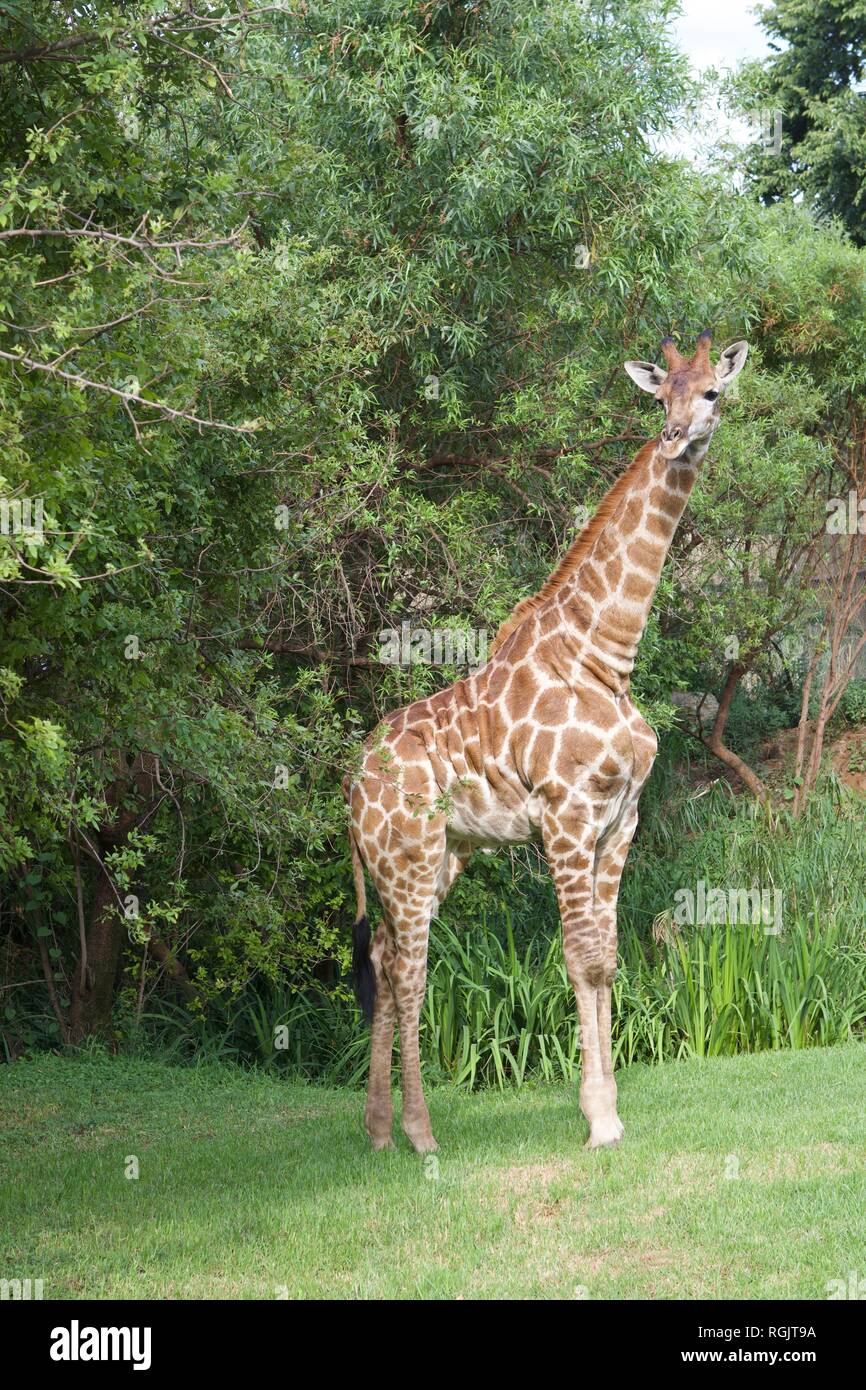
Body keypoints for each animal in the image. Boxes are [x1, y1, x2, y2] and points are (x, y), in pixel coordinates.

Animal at [346, 331, 749, 1153]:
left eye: (712, 393)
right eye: (660, 397)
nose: (674, 436)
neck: (606, 653)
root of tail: (347, 786)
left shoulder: (620, 820)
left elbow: (608, 959)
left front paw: (610, 1107)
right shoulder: (564, 817)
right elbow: (581, 958)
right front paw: (598, 1118)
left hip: (437, 859)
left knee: (383, 959)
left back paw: (377, 1131)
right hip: (409, 861)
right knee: (410, 973)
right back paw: (421, 1132)